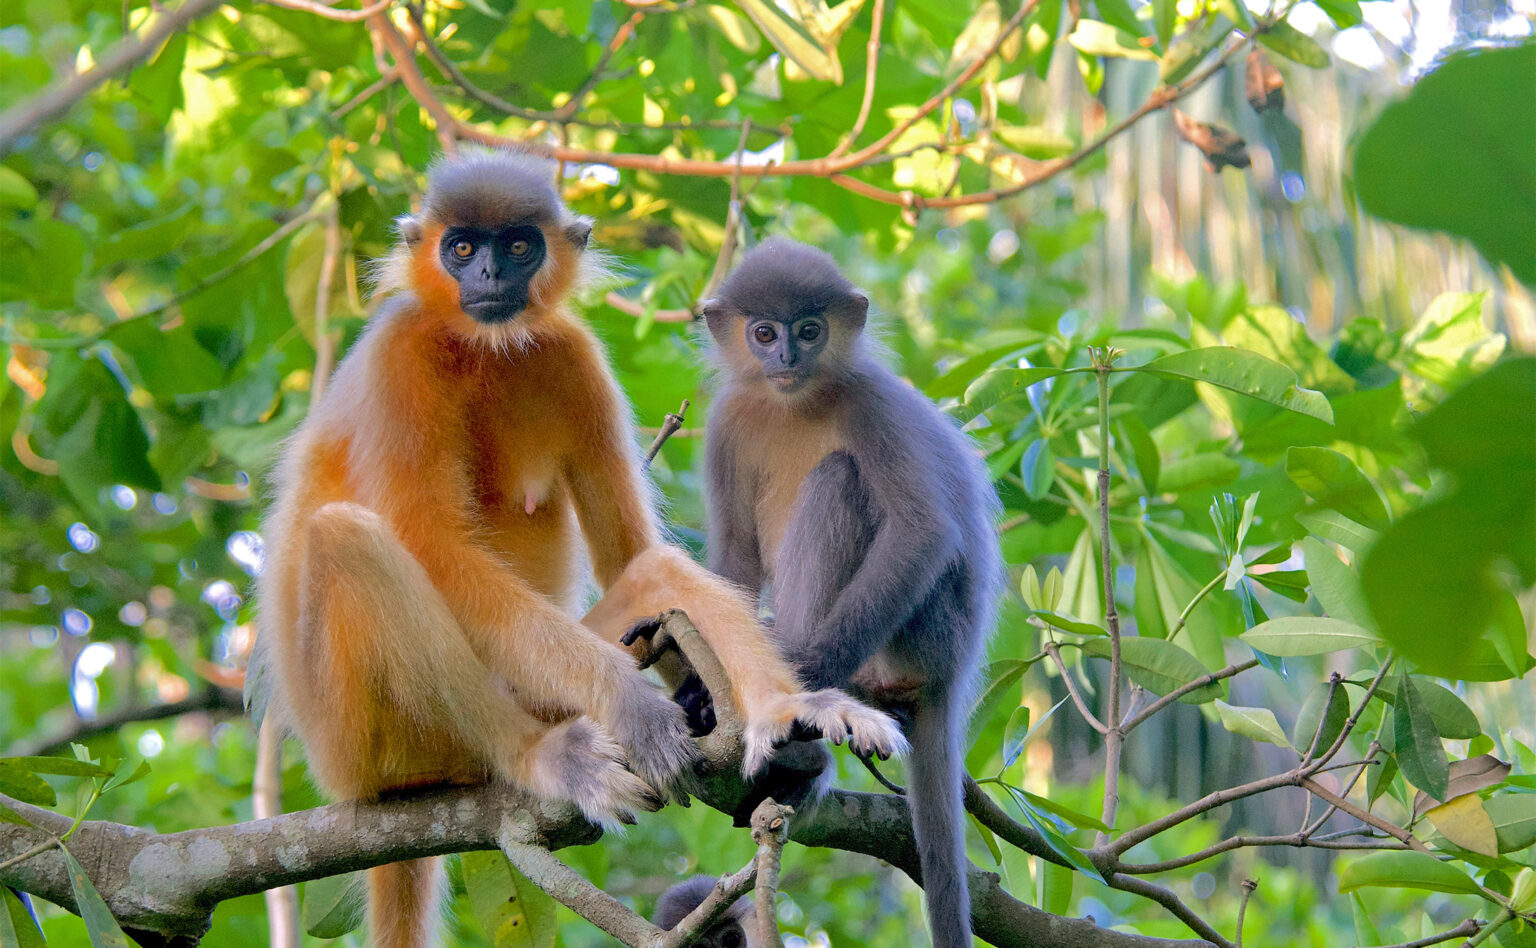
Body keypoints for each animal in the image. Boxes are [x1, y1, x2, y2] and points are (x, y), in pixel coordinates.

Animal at [254, 152, 905, 948]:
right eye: (461, 248)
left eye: (518, 245)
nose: (488, 274)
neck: (481, 347)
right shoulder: (398, 352)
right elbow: (435, 550)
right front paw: (630, 704)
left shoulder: (572, 353)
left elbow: (628, 553)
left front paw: (775, 718)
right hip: (360, 742)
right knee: (348, 539)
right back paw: (543, 758)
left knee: (653, 573)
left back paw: (785, 711)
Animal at [696, 237, 1003, 948]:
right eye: (764, 332)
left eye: (810, 330)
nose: (786, 357)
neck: (794, 401)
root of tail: (954, 672)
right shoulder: (728, 421)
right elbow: (737, 560)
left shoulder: (872, 403)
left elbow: (922, 531)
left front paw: (803, 679)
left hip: (924, 633)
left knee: (841, 477)